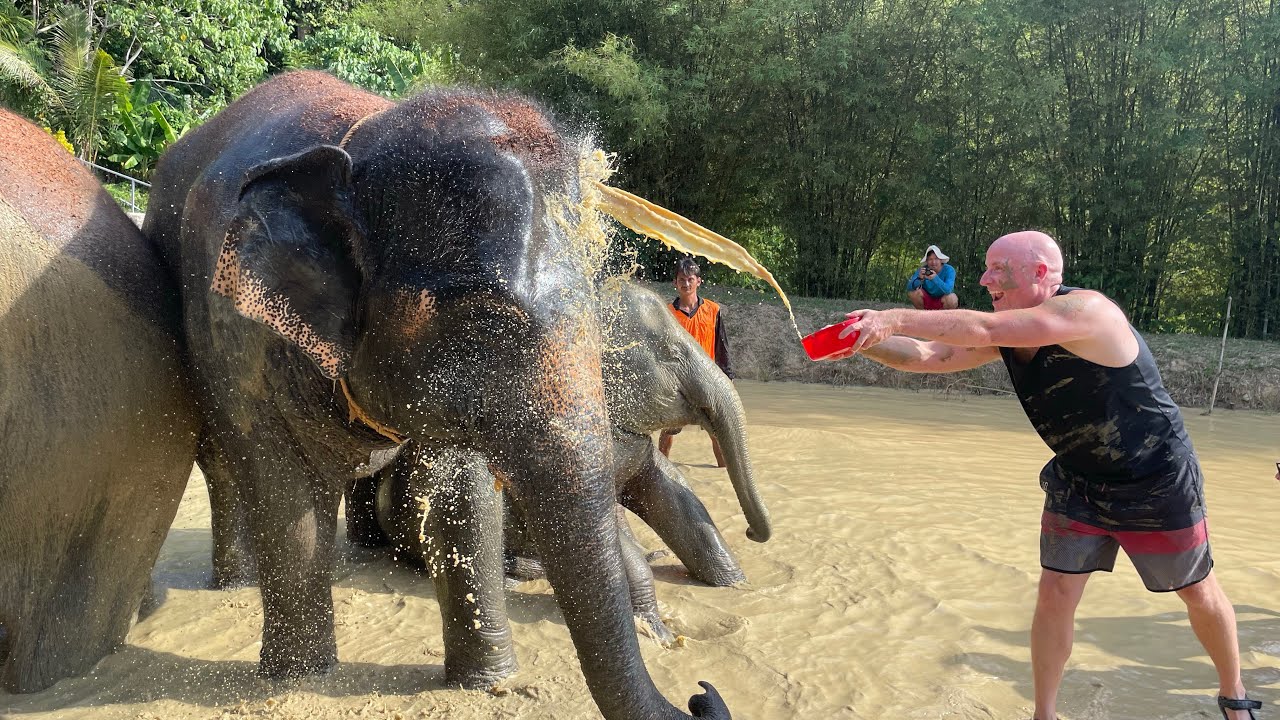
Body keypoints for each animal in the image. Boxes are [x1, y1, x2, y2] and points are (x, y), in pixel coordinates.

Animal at [141, 71, 729, 719]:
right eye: (483, 320)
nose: (701, 691)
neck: (361, 137)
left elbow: (460, 488)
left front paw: (487, 681)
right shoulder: (234, 331)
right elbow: (282, 485)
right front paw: (299, 681)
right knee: (225, 468)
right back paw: (239, 584)